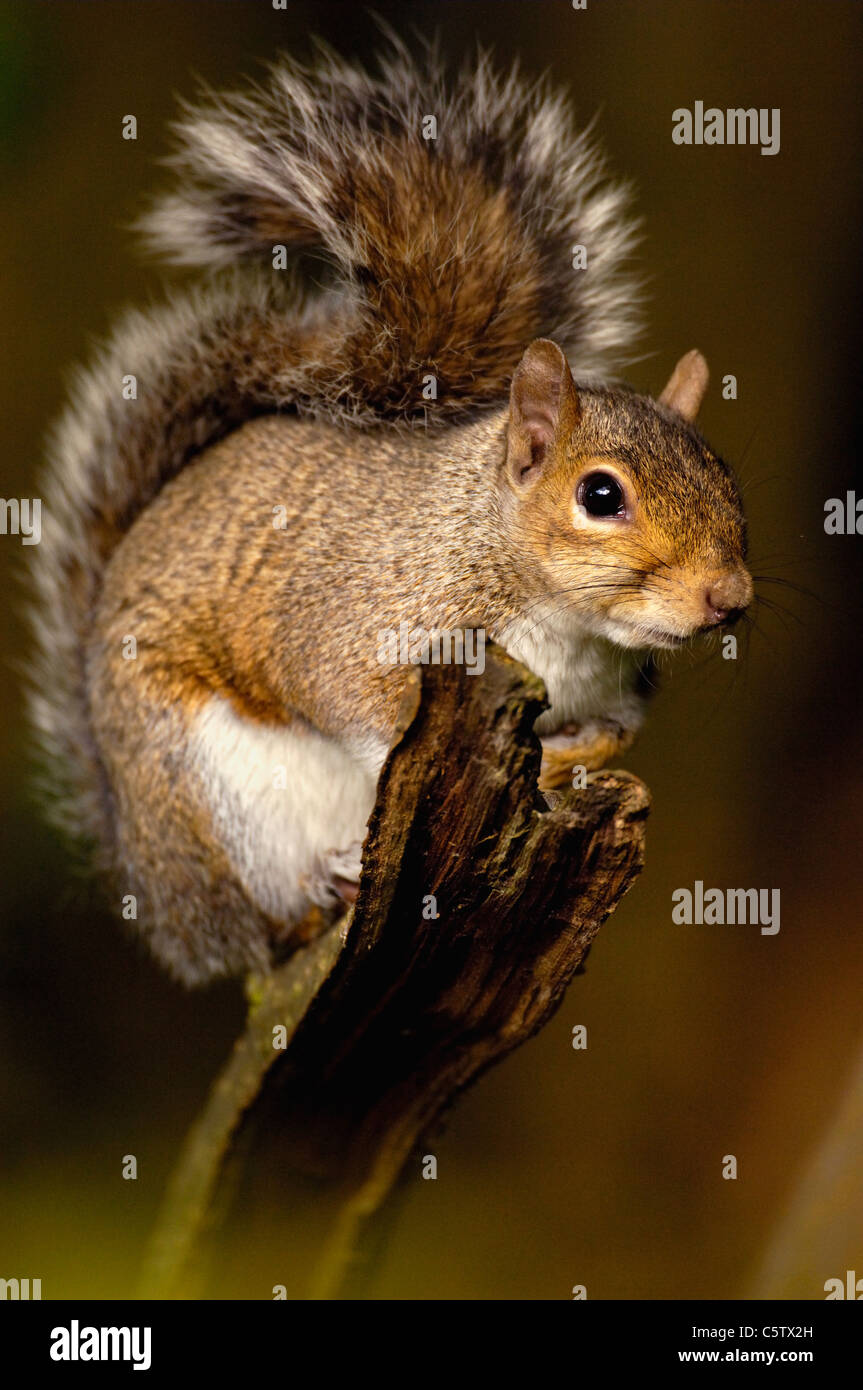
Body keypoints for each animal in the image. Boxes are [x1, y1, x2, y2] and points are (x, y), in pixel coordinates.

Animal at [28, 41, 753, 986]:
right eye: (600, 495)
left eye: (725, 474)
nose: (729, 598)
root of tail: (161, 902)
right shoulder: (361, 621)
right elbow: (355, 706)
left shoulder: (617, 694)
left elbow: (612, 737)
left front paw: (578, 755)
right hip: (211, 791)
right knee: (268, 923)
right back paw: (326, 878)